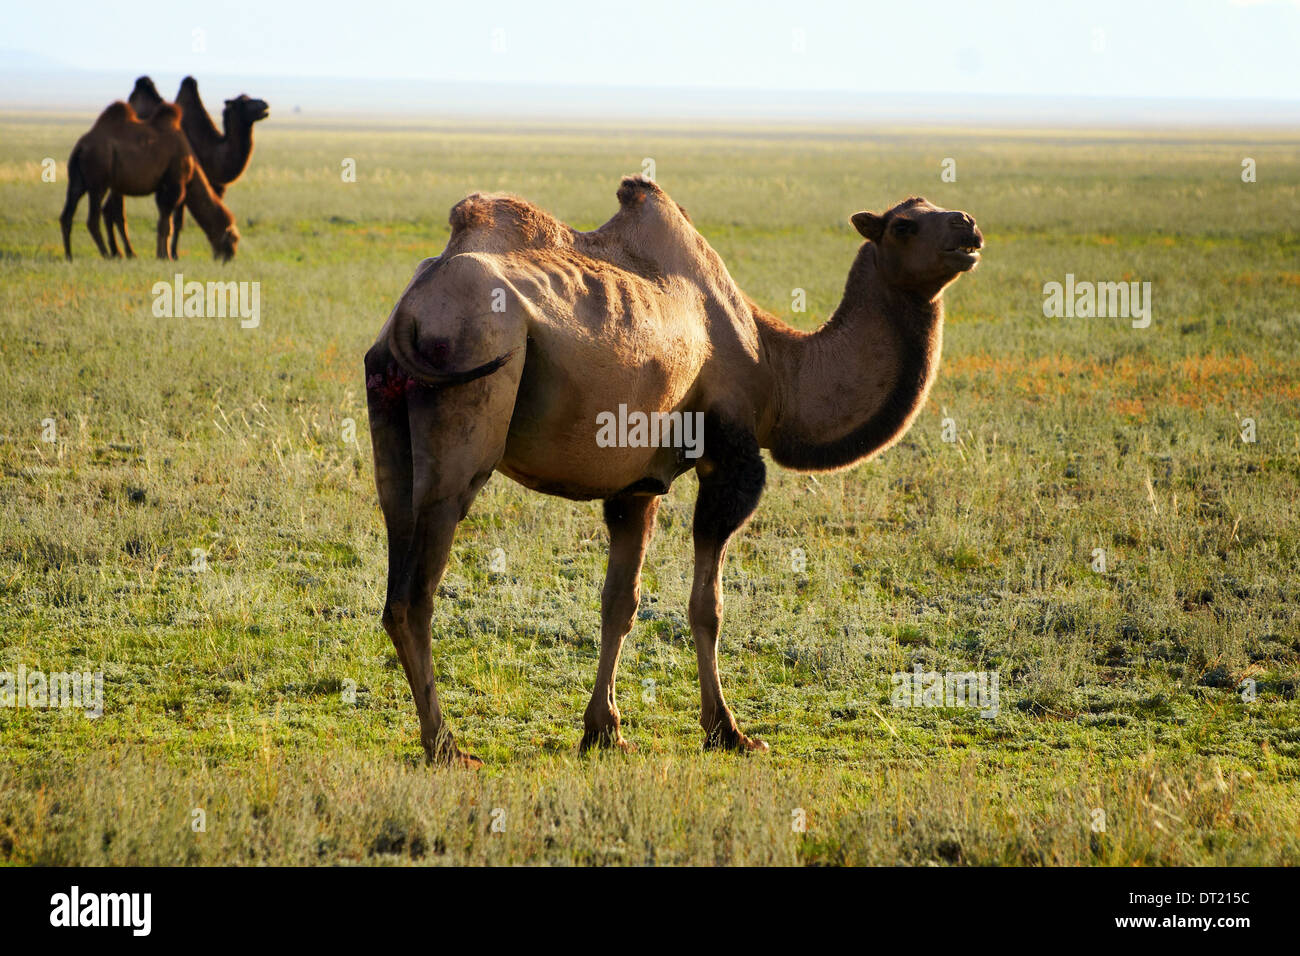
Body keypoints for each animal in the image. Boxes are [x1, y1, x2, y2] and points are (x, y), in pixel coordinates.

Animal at [59, 101, 239, 261]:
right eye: (234, 239)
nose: (230, 256)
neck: (191, 167)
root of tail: (81, 147)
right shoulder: (175, 185)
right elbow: (166, 225)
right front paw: (165, 256)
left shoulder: (161, 188)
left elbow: (163, 223)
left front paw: (162, 255)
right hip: (99, 179)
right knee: (92, 219)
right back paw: (107, 255)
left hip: (78, 180)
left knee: (67, 214)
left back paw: (70, 256)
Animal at [106, 76, 268, 258]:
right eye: (243, 102)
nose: (264, 104)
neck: (212, 152)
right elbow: (178, 221)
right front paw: (174, 253)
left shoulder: (215, 186)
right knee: (116, 210)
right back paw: (128, 252)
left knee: (108, 209)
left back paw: (115, 251)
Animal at [365, 177, 983, 766]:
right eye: (903, 225)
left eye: (934, 208)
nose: (968, 226)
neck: (775, 369)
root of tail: (409, 313)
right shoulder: (729, 459)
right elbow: (708, 606)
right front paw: (728, 732)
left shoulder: (637, 482)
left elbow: (620, 602)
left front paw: (605, 731)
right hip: (469, 401)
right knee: (418, 591)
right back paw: (447, 747)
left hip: (389, 427)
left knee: (396, 574)